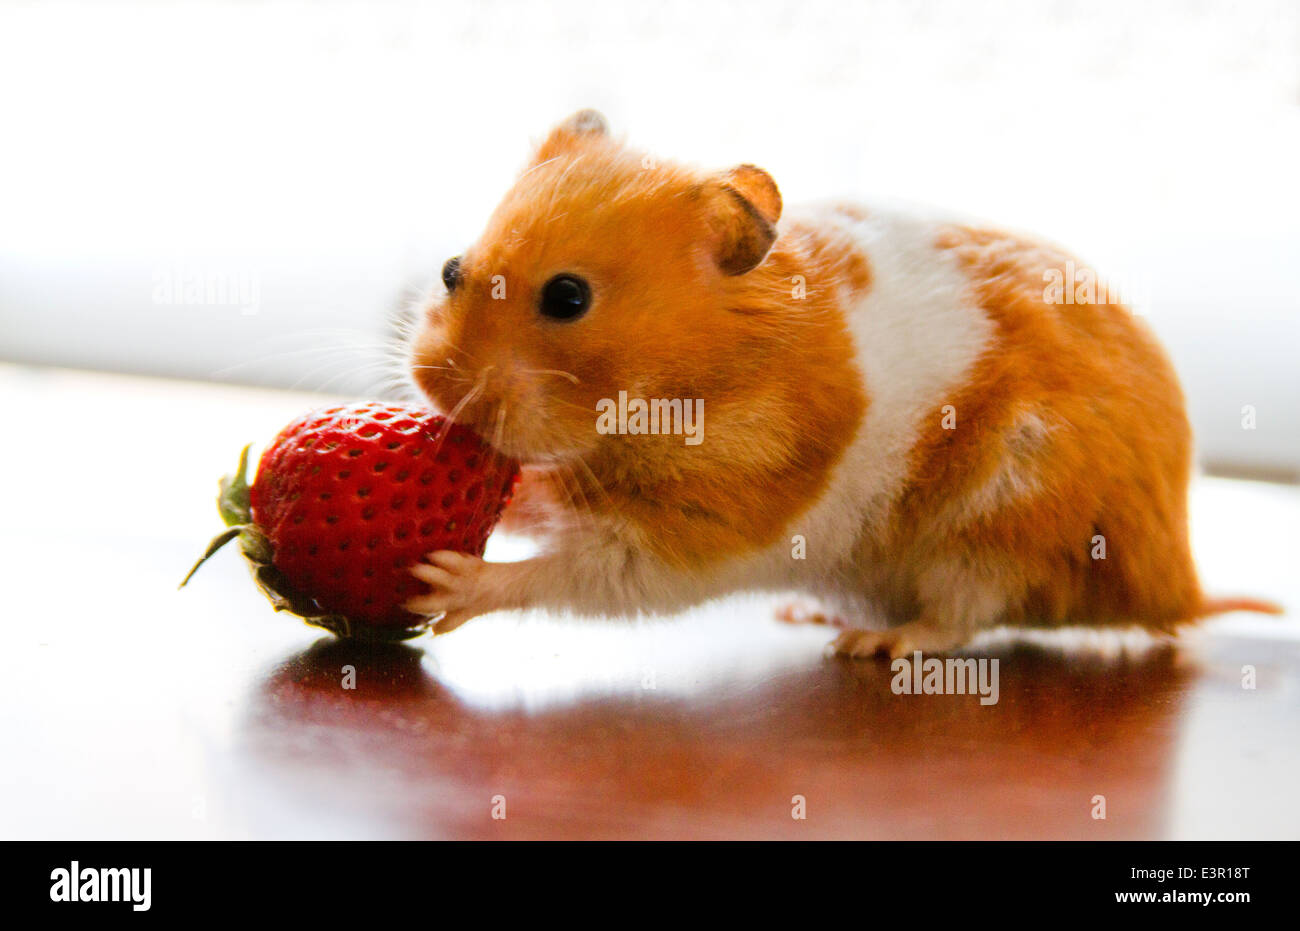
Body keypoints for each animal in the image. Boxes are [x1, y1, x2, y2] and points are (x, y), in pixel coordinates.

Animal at [405, 109, 1280, 658]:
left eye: (567, 298)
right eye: (450, 269)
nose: (437, 390)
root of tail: (1176, 584)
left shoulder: (712, 529)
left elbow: (586, 572)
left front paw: (446, 583)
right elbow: (544, 508)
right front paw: (511, 496)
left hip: (1003, 527)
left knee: (964, 618)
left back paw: (873, 642)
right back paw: (813, 611)